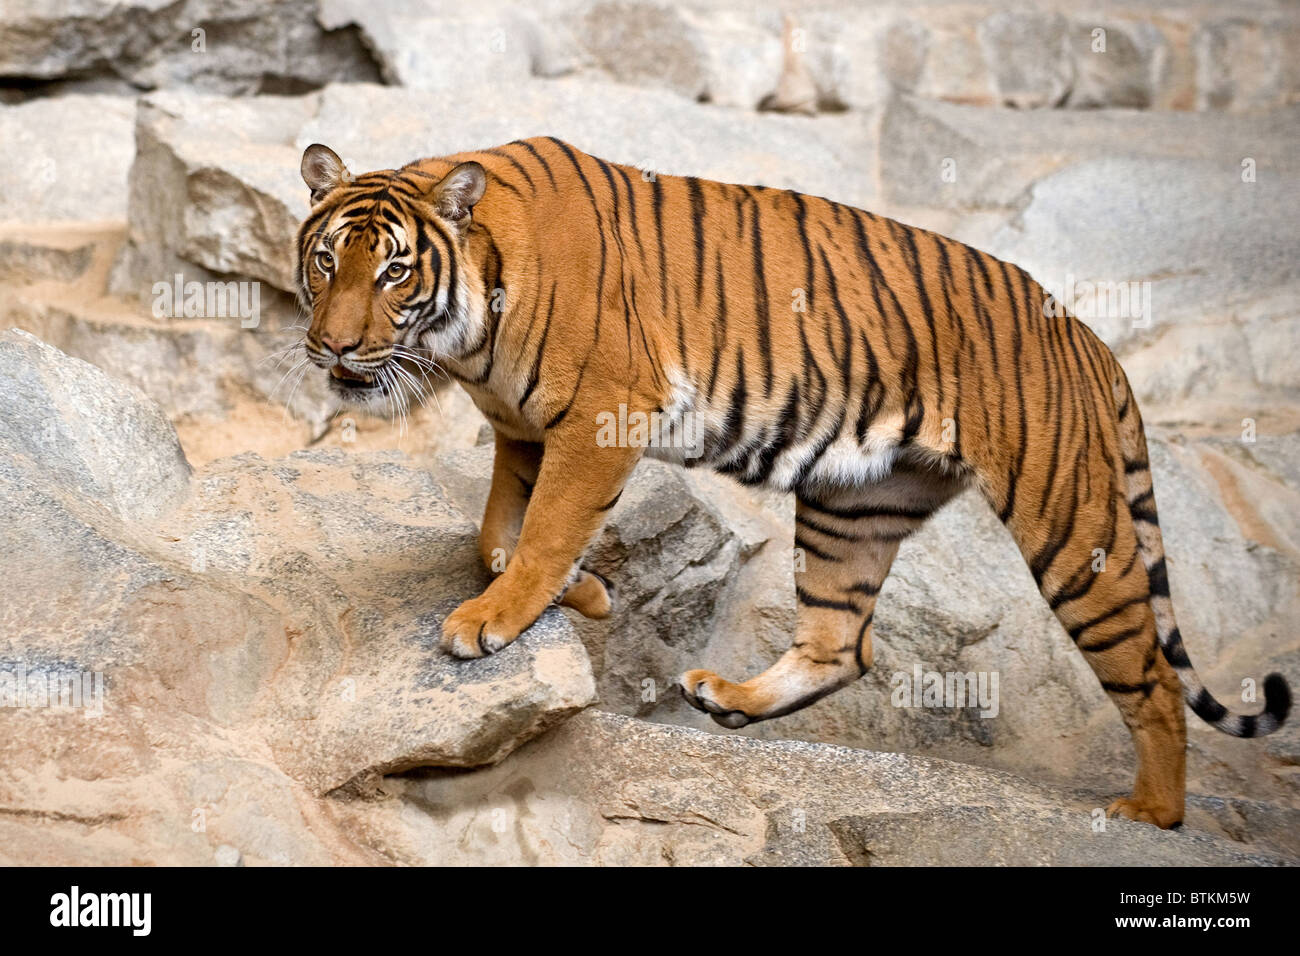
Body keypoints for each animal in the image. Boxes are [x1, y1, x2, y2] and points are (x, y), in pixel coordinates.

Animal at [293, 137, 1290, 829]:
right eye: (326, 262)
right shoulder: (523, 428)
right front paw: (582, 595)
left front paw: (491, 621)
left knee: (1152, 676)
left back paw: (1152, 812)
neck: (470, 323)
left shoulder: (600, 416)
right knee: (843, 642)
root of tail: (1088, 333)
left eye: (394, 270)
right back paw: (728, 700)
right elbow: (499, 531)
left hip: (1068, 527)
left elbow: (541, 530)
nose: (333, 346)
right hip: (857, 504)